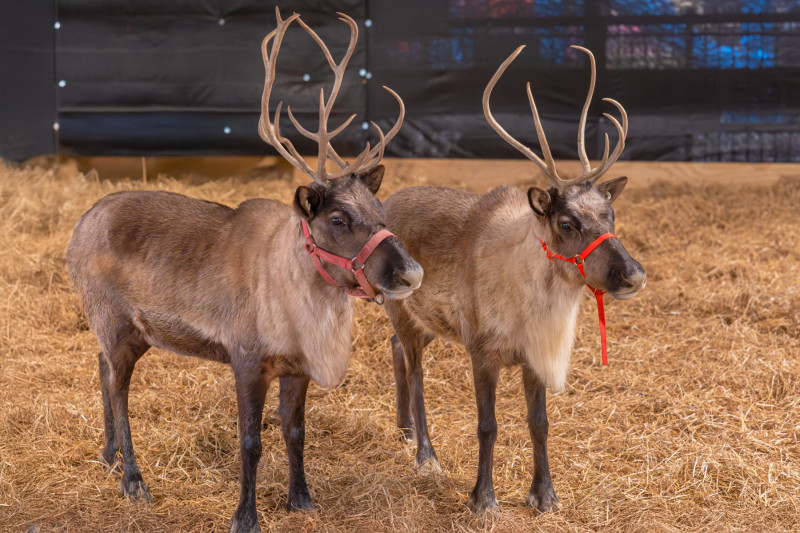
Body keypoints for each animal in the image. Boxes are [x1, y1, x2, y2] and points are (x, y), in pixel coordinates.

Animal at [66, 9, 422, 533]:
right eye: (338, 219)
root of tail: (77, 229)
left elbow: (295, 431)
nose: (411, 272)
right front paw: (245, 516)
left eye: (380, 209)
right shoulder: (247, 360)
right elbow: (251, 443)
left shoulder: (297, 369)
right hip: (113, 320)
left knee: (101, 367)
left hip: (132, 332)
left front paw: (302, 499)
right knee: (118, 385)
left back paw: (109, 457)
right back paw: (133, 480)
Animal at [382, 45, 647, 514]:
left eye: (610, 214)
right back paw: (426, 456)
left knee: (397, 350)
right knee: (415, 375)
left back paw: (405, 431)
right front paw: (483, 499)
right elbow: (488, 425)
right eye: (566, 222)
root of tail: (387, 202)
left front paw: (545, 495)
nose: (633, 274)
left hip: (426, 321)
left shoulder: (534, 356)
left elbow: (539, 422)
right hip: (402, 312)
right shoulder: (482, 352)